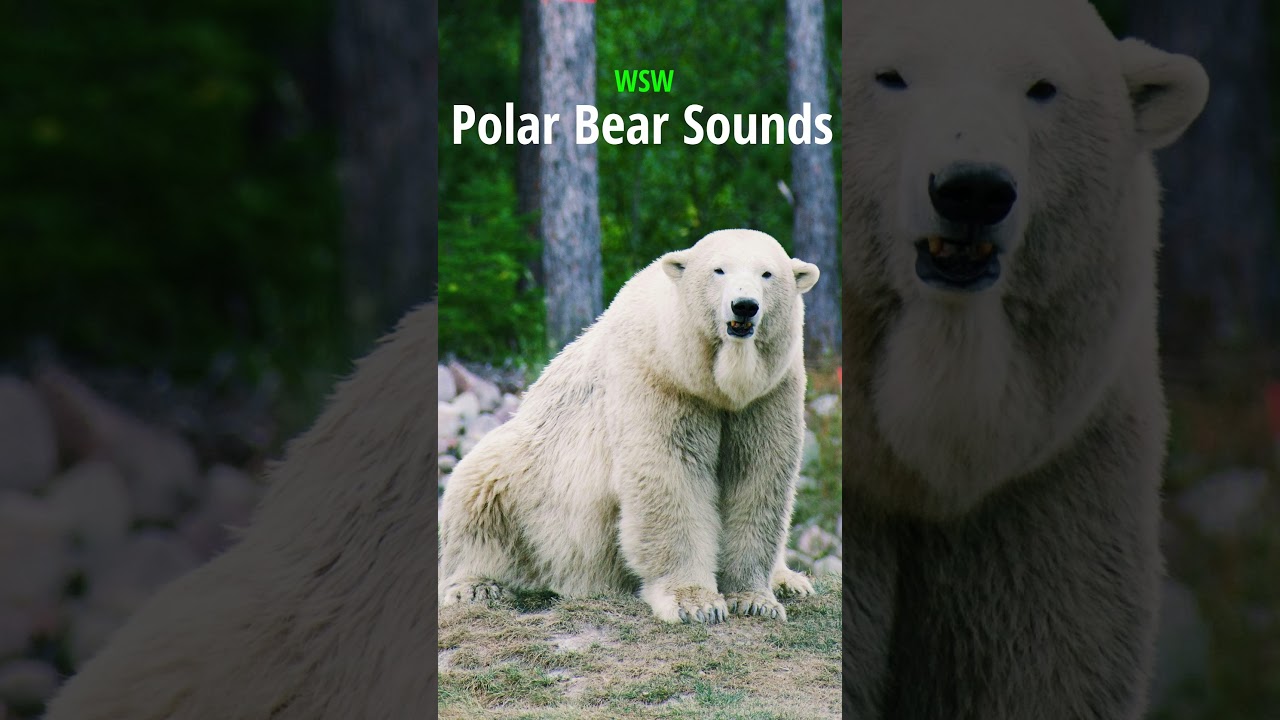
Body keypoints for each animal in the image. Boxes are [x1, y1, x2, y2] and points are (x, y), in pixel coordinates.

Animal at [439, 228, 820, 624]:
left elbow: (758, 475)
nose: (744, 306)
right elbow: (670, 473)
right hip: (525, 473)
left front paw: (755, 599)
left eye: (767, 274)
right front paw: (695, 603)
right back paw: (476, 585)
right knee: (479, 490)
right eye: (719, 270)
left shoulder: (769, 393)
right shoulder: (657, 380)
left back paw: (791, 581)